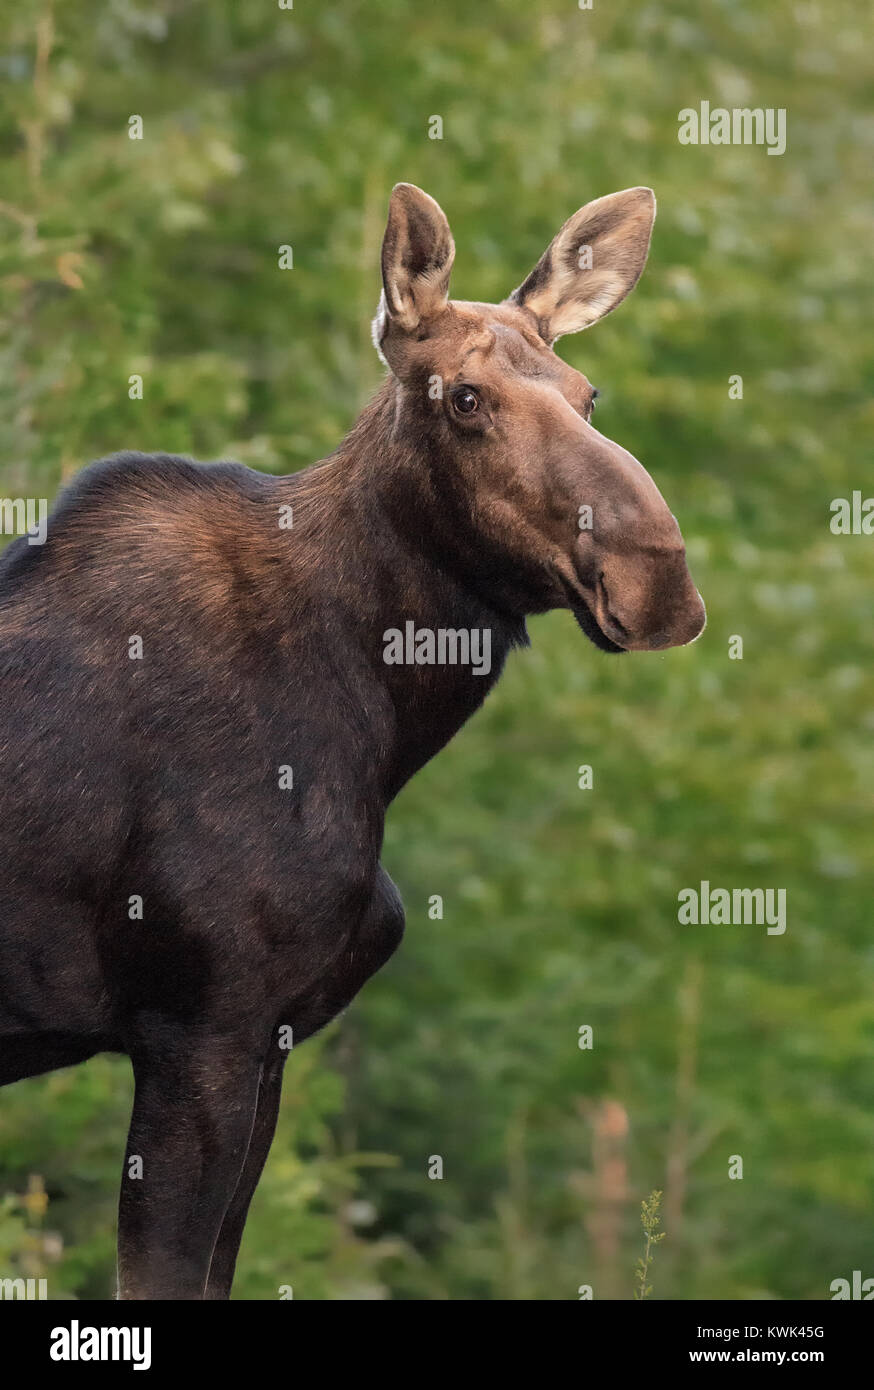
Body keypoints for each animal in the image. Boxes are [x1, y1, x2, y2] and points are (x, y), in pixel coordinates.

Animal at [0, 183, 705, 1299]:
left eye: (588, 395)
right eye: (464, 399)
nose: (659, 578)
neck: (382, 726)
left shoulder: (271, 1042)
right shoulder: (200, 1028)